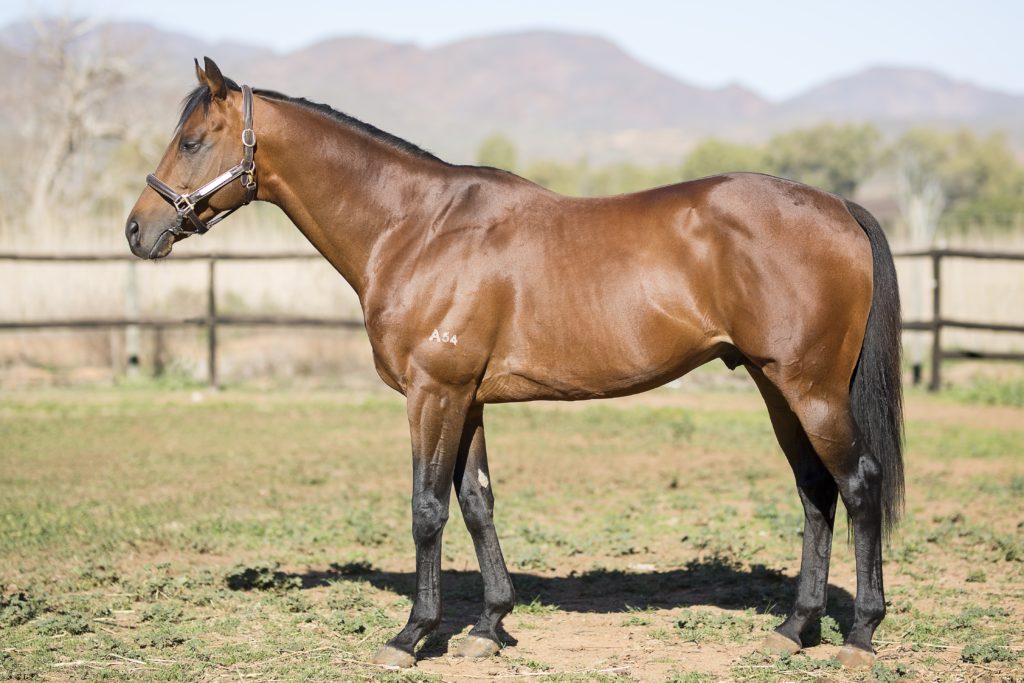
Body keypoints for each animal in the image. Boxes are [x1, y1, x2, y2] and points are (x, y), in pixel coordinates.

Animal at [126, 58, 904, 670]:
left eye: (191, 141)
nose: (138, 230)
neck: (416, 228)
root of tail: (838, 206)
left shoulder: (432, 394)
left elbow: (427, 509)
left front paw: (413, 634)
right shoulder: (467, 397)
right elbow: (478, 502)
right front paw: (489, 625)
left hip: (812, 390)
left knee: (858, 485)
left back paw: (859, 636)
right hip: (778, 388)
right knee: (815, 491)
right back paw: (793, 628)